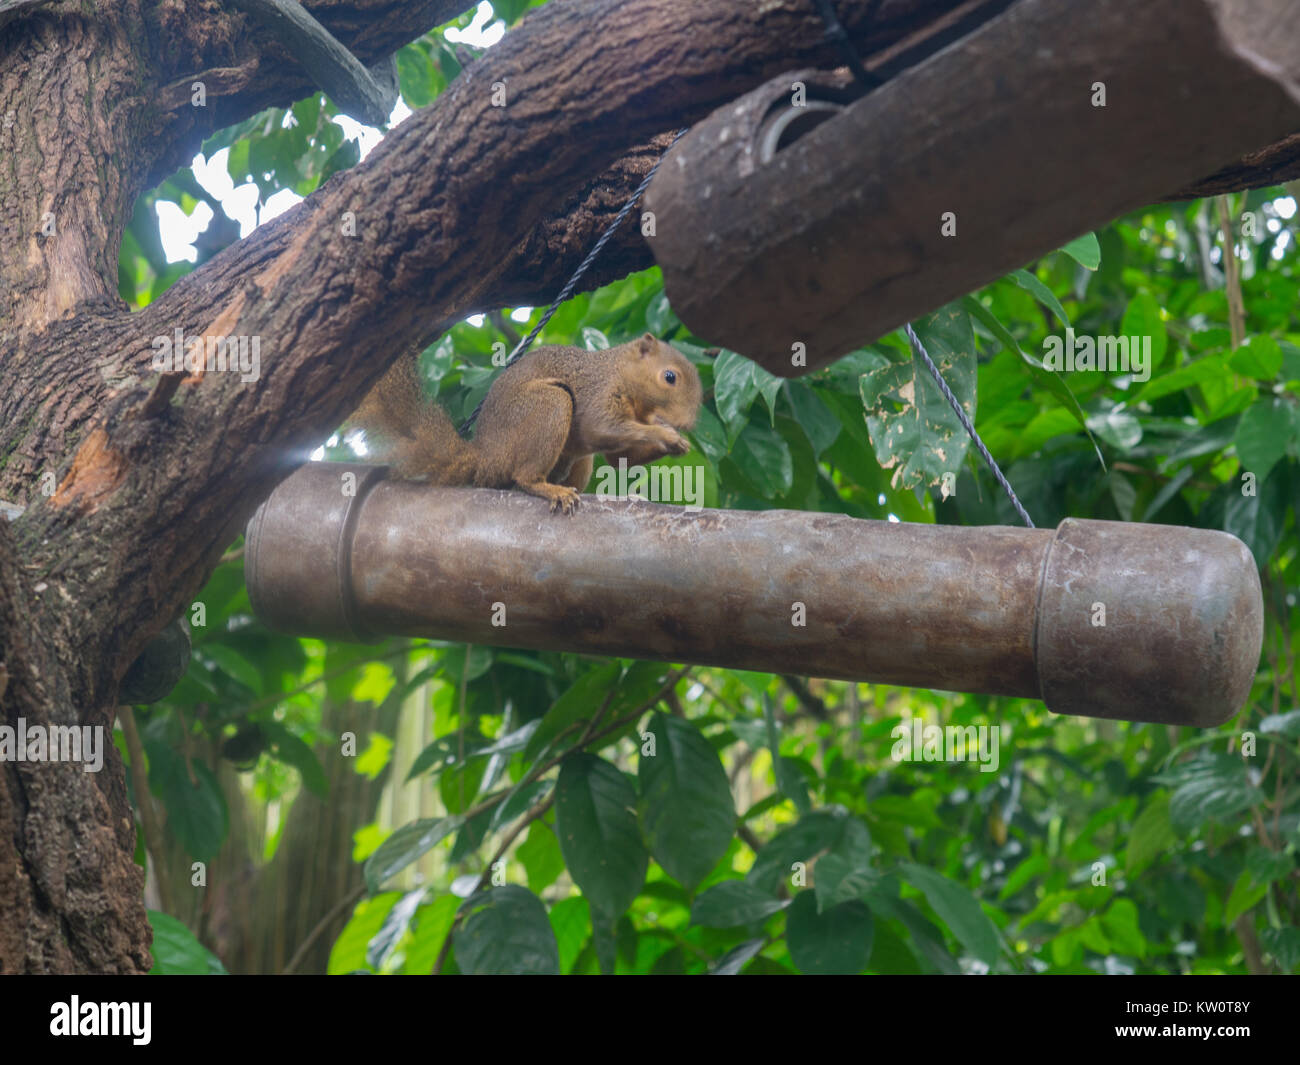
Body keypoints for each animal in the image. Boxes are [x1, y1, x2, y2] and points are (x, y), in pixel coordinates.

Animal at [352, 333, 703, 514]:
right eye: (669, 377)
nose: (686, 423)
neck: (620, 371)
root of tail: (485, 457)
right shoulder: (599, 391)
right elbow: (599, 428)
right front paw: (666, 434)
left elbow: (618, 459)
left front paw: (677, 443)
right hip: (549, 406)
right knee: (523, 477)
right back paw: (550, 489)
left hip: (578, 461)